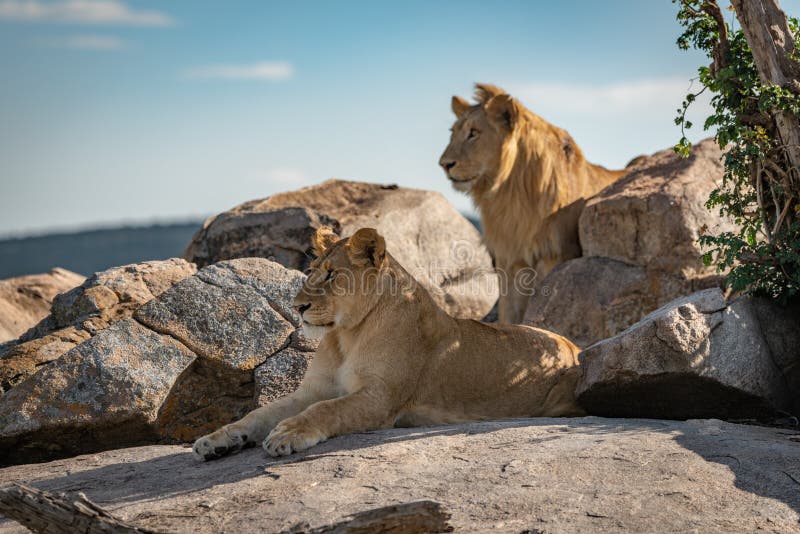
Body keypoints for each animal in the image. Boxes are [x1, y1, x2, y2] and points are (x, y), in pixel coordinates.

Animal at [192, 226, 585, 460]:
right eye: (311, 271)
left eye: (332, 275)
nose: (296, 306)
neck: (347, 335)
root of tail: (573, 347)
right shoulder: (311, 390)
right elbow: (257, 415)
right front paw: (215, 440)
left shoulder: (381, 398)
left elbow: (326, 410)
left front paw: (288, 433)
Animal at [439, 84, 628, 324]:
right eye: (452, 133)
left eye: (473, 133)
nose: (444, 164)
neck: (510, 196)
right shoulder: (510, 260)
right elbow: (509, 315)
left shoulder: (554, 253)